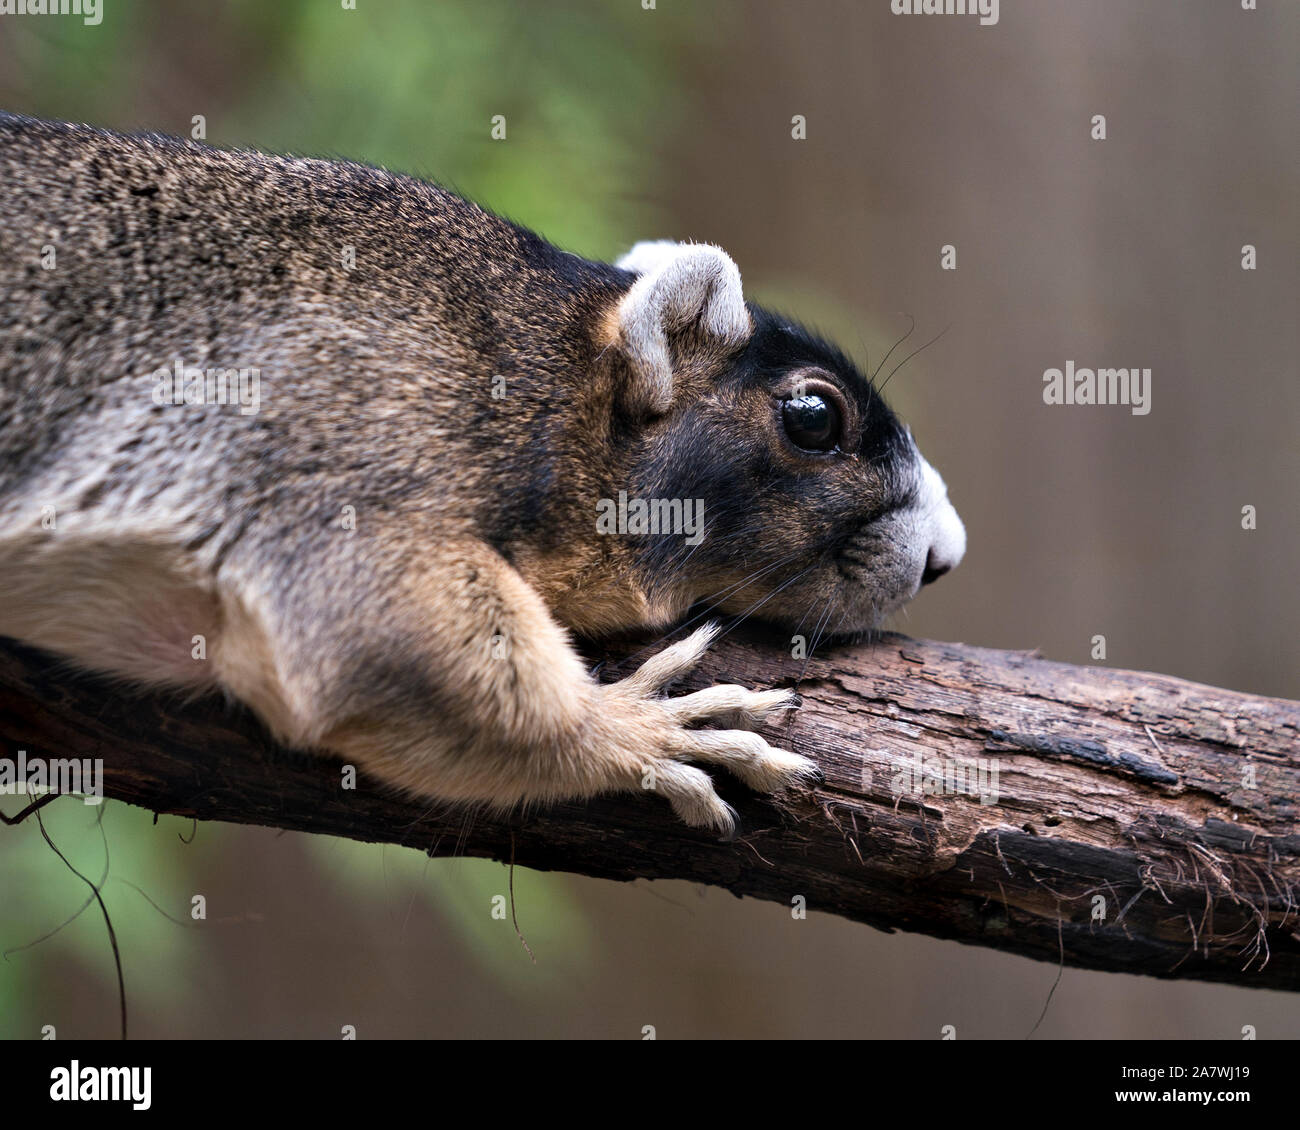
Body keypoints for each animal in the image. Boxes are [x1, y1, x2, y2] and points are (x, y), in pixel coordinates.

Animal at [0, 112, 965, 834]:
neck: (538, 375)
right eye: (815, 417)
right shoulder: (339, 450)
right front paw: (646, 729)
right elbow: (367, 638)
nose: (945, 556)